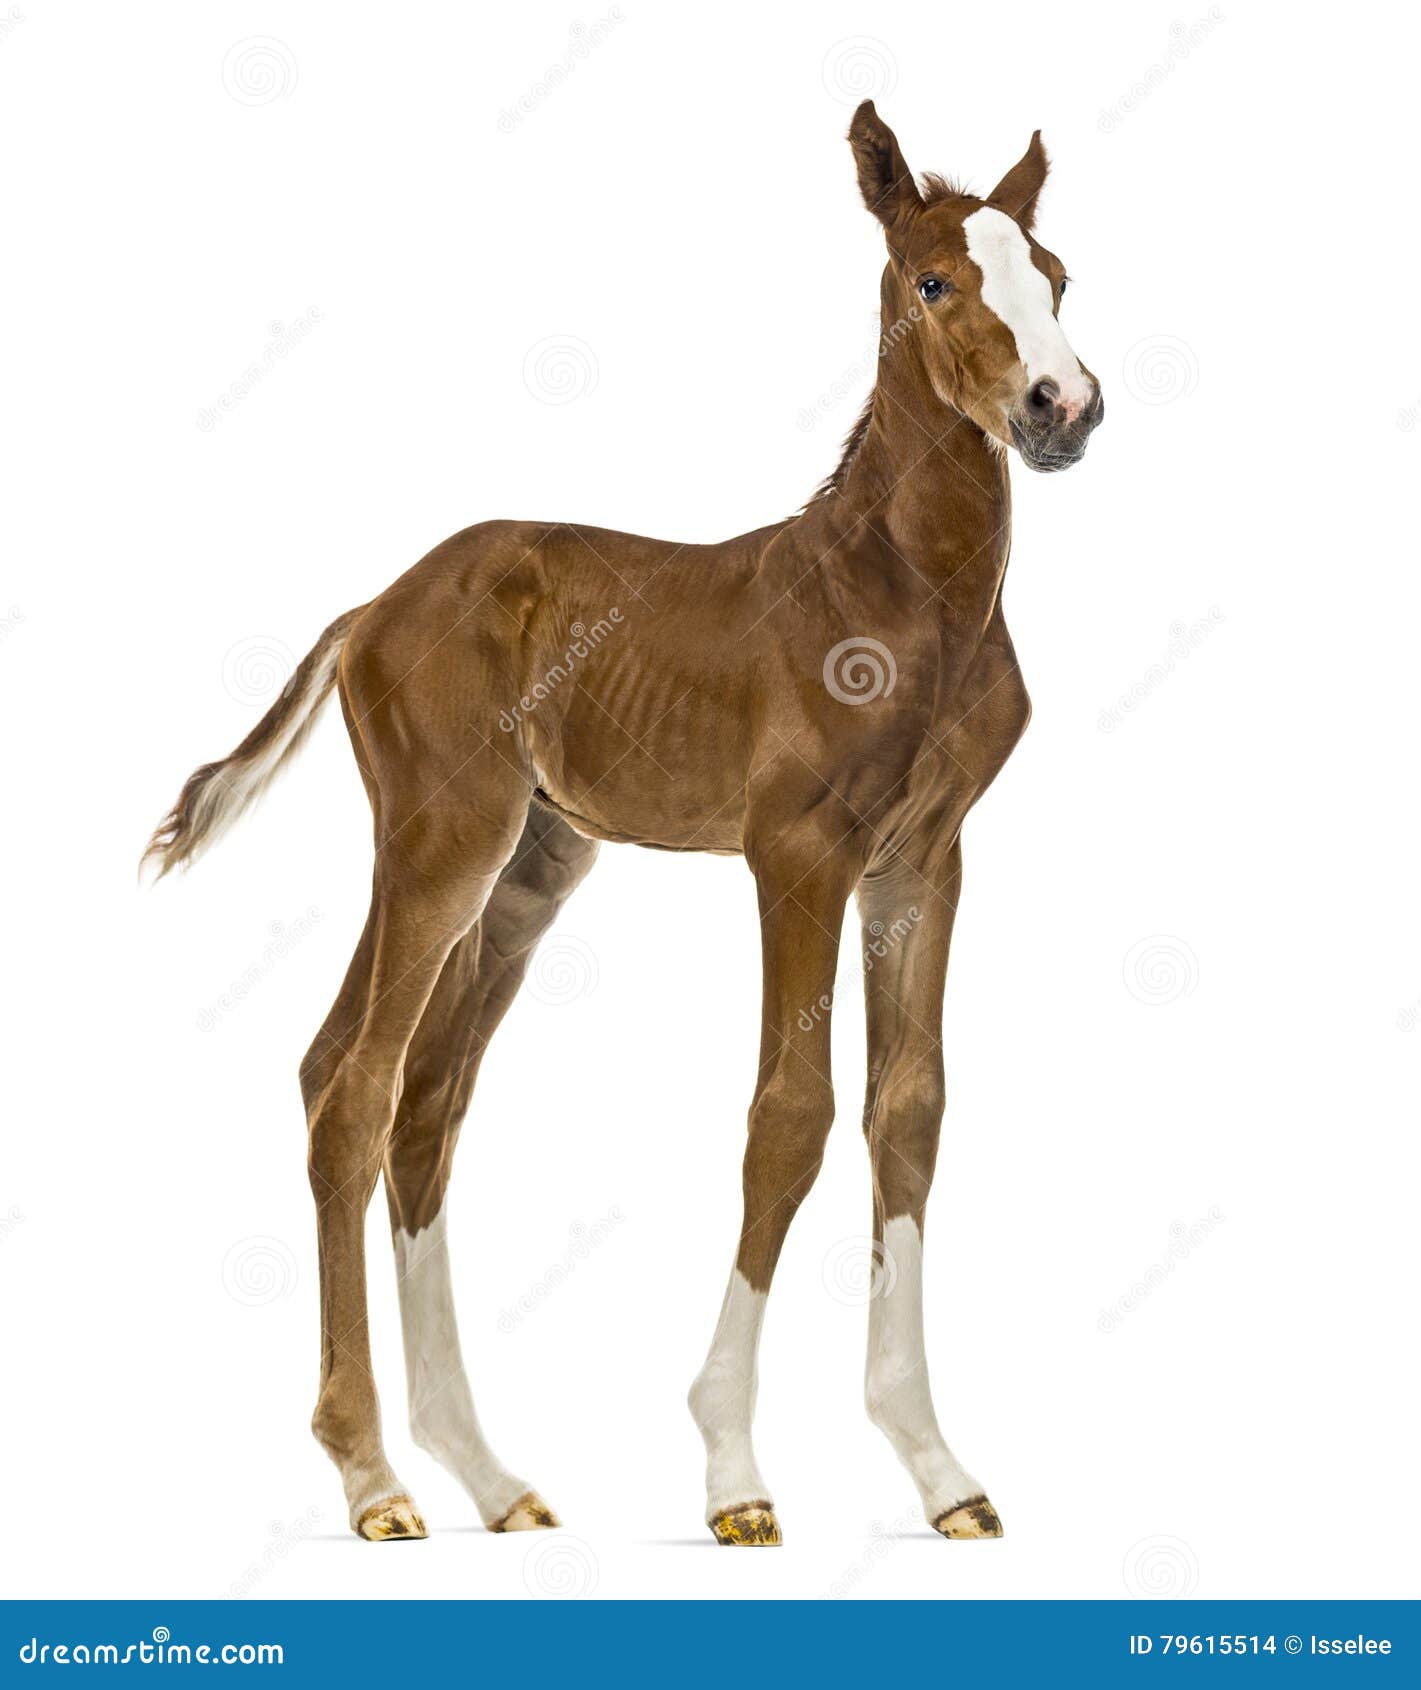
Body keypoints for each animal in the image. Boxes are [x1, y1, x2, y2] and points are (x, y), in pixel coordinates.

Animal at [144, 100, 1103, 1548]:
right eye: (937, 280)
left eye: (1055, 273)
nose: (1062, 408)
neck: (902, 595)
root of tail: (371, 606)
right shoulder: (796, 855)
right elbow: (788, 1116)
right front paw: (734, 1473)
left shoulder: (921, 864)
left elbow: (909, 1113)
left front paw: (938, 1468)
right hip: (441, 842)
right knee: (356, 1086)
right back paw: (374, 1478)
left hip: (533, 863)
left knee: (418, 1094)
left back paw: (486, 1475)